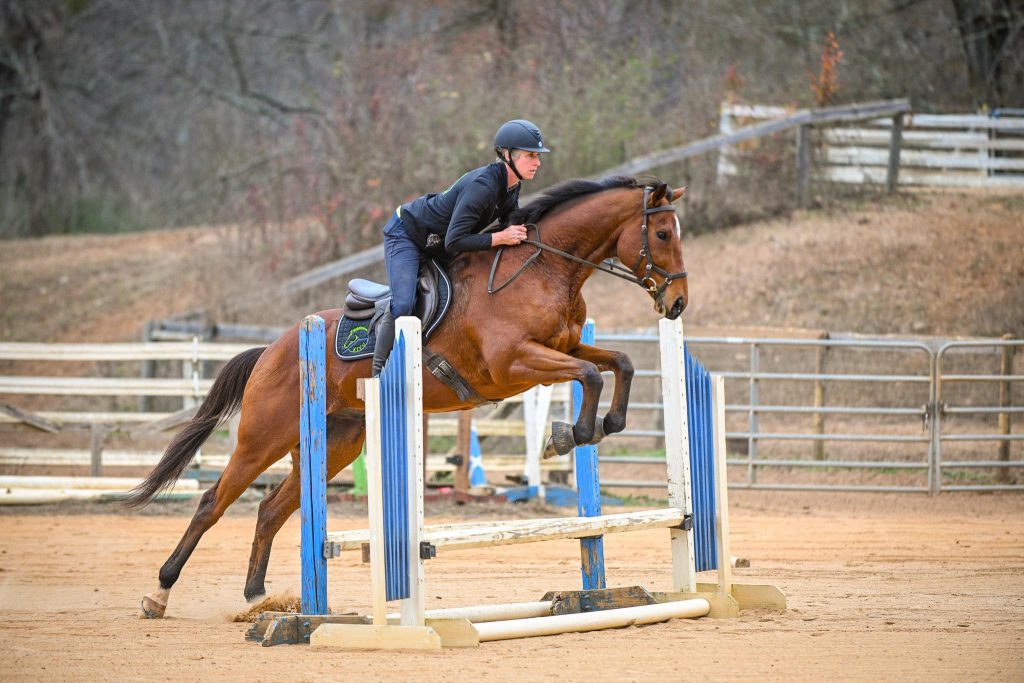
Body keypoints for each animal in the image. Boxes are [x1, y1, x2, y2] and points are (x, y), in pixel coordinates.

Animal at [127, 175, 688, 618]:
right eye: (662, 233)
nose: (678, 303)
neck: (544, 269)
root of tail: (275, 347)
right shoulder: (514, 364)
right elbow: (590, 375)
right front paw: (568, 435)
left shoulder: (565, 347)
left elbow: (618, 363)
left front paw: (601, 426)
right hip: (264, 436)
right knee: (212, 503)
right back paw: (160, 594)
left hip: (337, 443)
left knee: (270, 509)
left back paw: (258, 598)